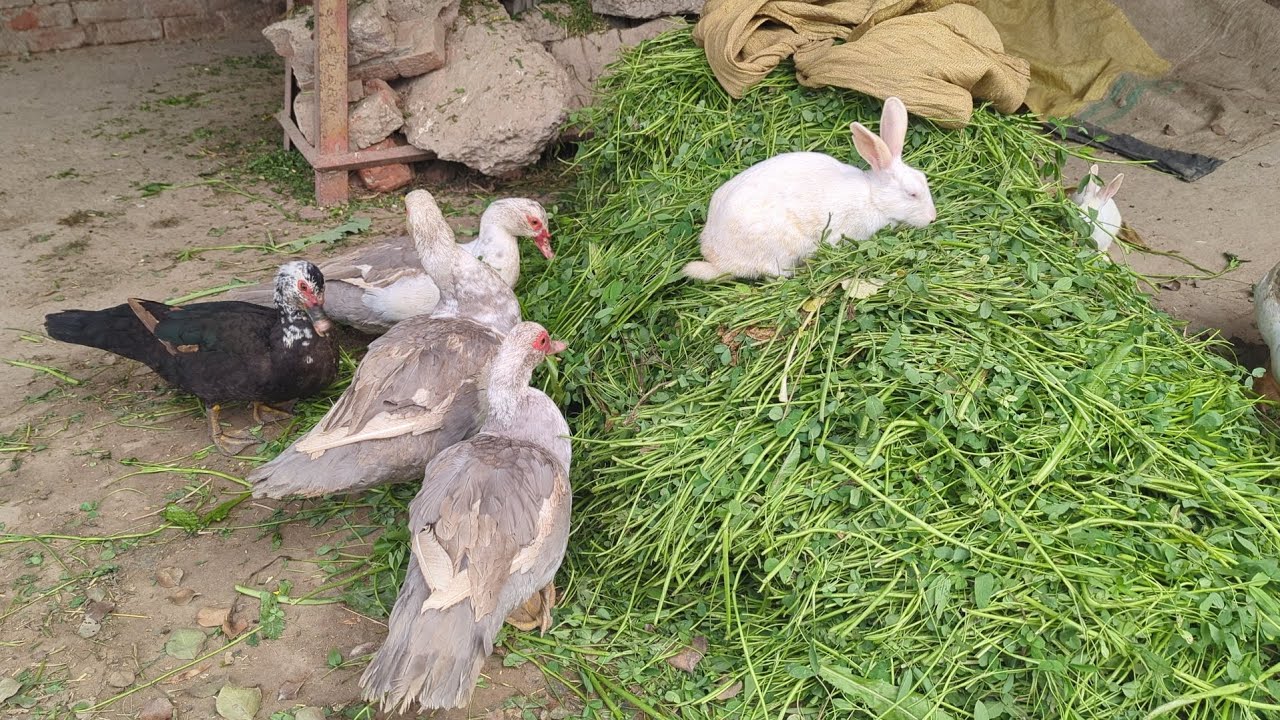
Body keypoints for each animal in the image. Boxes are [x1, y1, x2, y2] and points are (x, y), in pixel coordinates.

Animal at [682, 96, 936, 282]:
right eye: (912, 193)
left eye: (924, 179)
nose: (932, 218)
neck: (873, 197)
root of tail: (719, 260)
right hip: (782, 249)